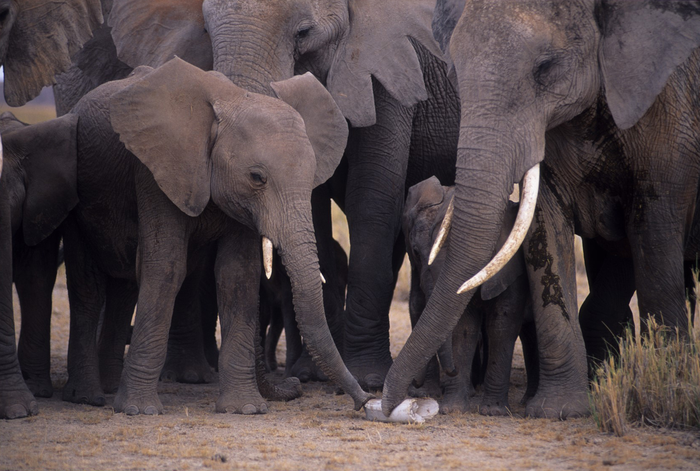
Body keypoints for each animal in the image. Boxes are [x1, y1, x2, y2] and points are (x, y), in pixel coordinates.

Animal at [62, 57, 371, 415]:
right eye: (257, 177)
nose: (365, 400)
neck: (231, 101)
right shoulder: (157, 170)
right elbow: (165, 267)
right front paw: (140, 411)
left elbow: (236, 274)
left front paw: (244, 409)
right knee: (87, 288)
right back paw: (88, 396)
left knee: (123, 288)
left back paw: (109, 388)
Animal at [107, 0, 460, 390]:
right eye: (206, 31)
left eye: (303, 34)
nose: (289, 385)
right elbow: (315, 209)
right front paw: (310, 375)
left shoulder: (387, 62)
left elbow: (372, 198)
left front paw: (369, 378)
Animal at [403, 176, 538, 416]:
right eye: (416, 253)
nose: (415, 383)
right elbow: (462, 326)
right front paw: (453, 408)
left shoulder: (513, 271)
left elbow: (502, 326)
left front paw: (492, 411)